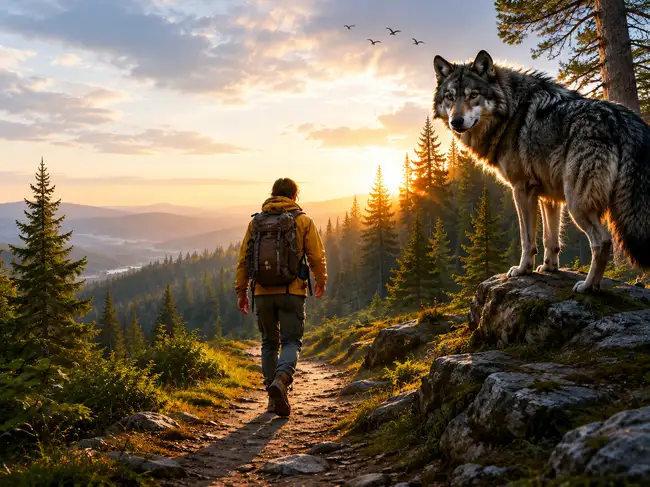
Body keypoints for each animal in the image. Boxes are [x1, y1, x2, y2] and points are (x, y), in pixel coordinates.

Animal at [432, 50, 650, 293]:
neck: (511, 111)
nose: (456, 121)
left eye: (473, 95)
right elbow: (550, 239)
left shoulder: (522, 189)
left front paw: (522, 269)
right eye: (450, 97)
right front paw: (549, 268)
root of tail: (622, 118)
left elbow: (527, 238)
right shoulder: (549, 196)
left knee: (602, 242)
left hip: (578, 204)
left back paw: (587, 286)